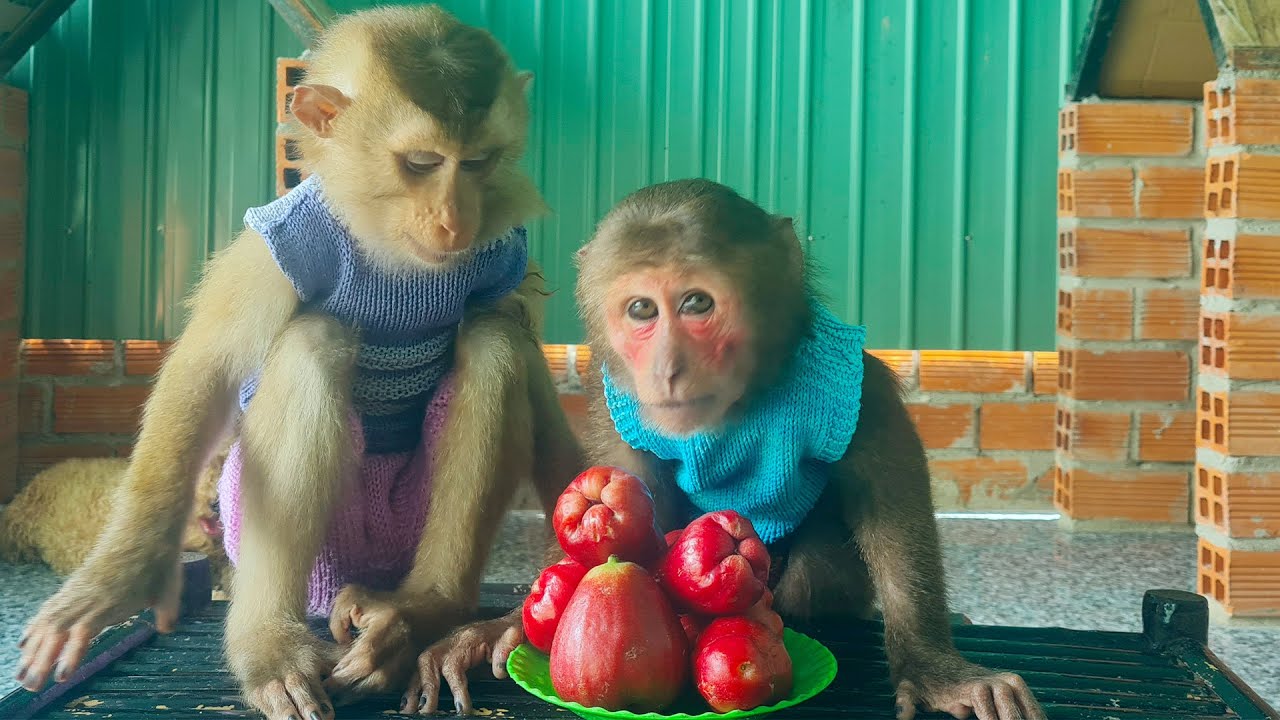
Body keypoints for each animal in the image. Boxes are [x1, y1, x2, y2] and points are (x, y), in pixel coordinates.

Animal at [13, 7, 583, 720]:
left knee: (493, 345)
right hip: (292, 536)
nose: (455, 221)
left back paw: (421, 611)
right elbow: (211, 368)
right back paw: (269, 644)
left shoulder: (502, 253)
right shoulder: (289, 237)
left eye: (479, 162)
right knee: (313, 343)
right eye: (421, 163)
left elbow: (519, 346)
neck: (387, 248)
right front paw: (129, 572)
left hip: (402, 534)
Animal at [408, 179, 1044, 720]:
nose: (668, 369)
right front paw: (509, 626)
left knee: (814, 572)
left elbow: (888, 497)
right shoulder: (620, 407)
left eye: (696, 304)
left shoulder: (847, 379)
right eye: (642, 310)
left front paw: (934, 665)